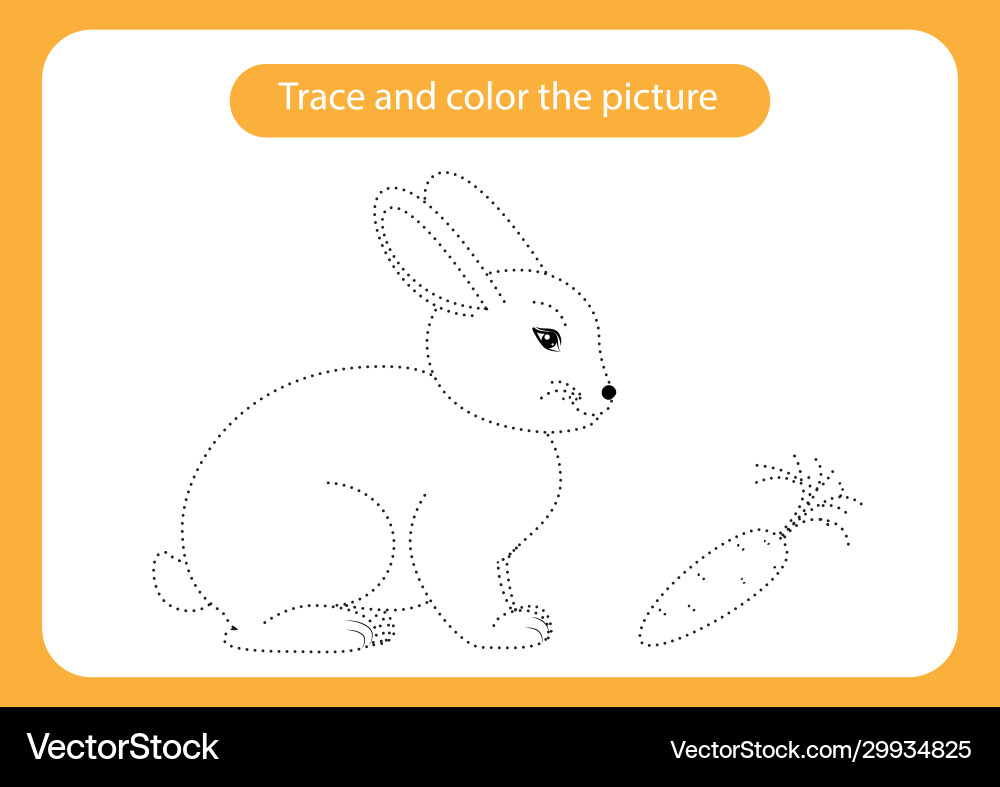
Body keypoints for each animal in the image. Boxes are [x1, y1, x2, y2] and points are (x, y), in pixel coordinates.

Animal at [152, 171, 617, 653]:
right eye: (547, 337)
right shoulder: (450, 532)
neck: (484, 416)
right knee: (251, 629)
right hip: (354, 531)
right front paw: (513, 630)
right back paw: (348, 630)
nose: (608, 392)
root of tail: (201, 578)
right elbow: (464, 592)